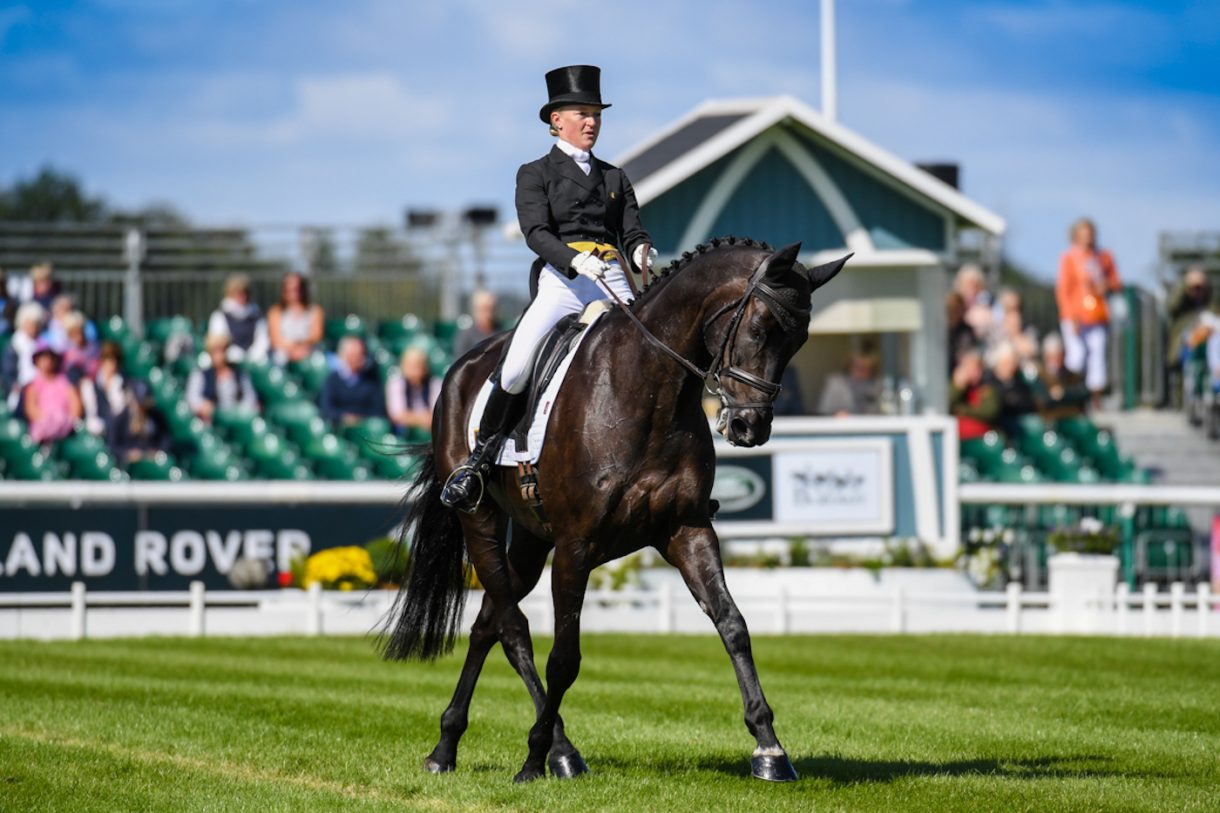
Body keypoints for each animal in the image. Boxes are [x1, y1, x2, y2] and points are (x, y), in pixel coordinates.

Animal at [382, 236, 848, 783]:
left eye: (800, 340)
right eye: (758, 328)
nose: (749, 427)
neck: (650, 389)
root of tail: (460, 368)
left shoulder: (686, 529)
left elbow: (732, 625)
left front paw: (769, 750)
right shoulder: (575, 546)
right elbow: (564, 658)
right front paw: (534, 759)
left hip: (532, 538)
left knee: (487, 624)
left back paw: (449, 745)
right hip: (481, 521)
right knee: (514, 629)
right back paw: (552, 751)